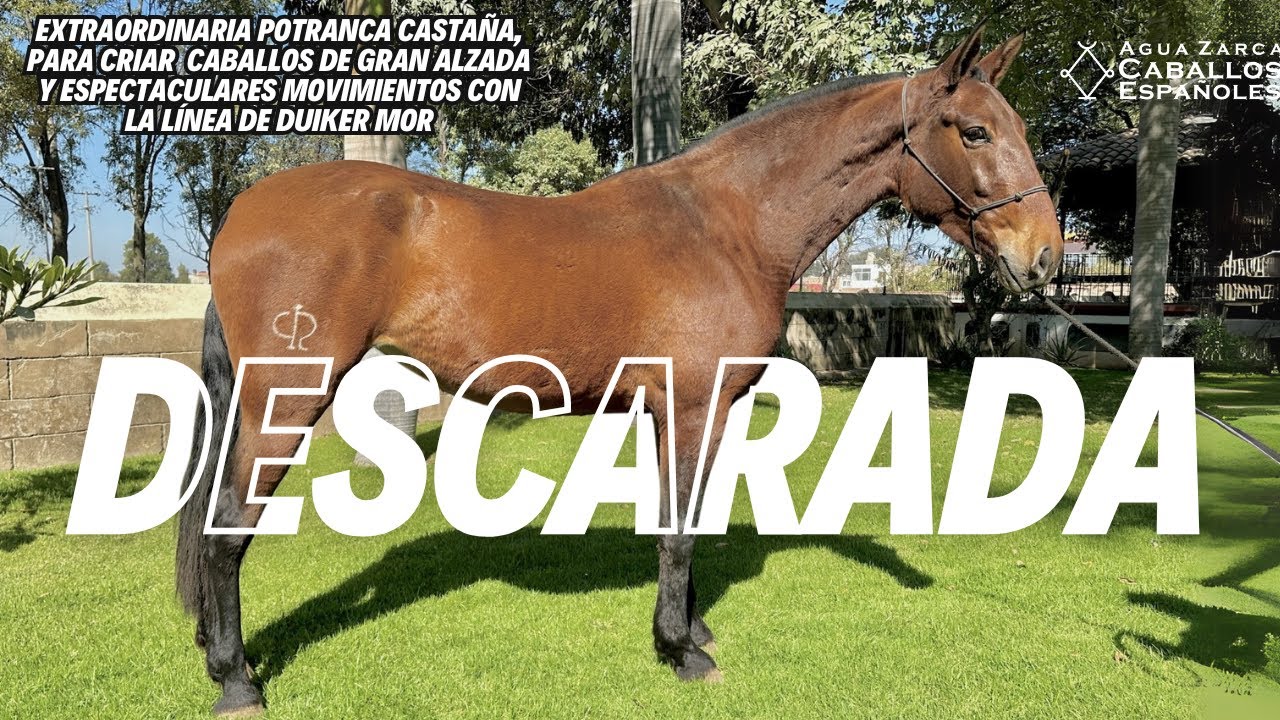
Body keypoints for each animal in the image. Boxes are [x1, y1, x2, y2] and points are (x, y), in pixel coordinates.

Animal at [176, 25, 1062, 716]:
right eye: (974, 133)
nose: (1046, 256)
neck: (728, 226)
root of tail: (242, 215)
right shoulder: (696, 407)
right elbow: (678, 530)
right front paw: (683, 651)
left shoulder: (679, 413)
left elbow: (685, 522)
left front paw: (692, 628)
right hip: (286, 399)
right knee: (227, 531)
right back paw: (237, 682)